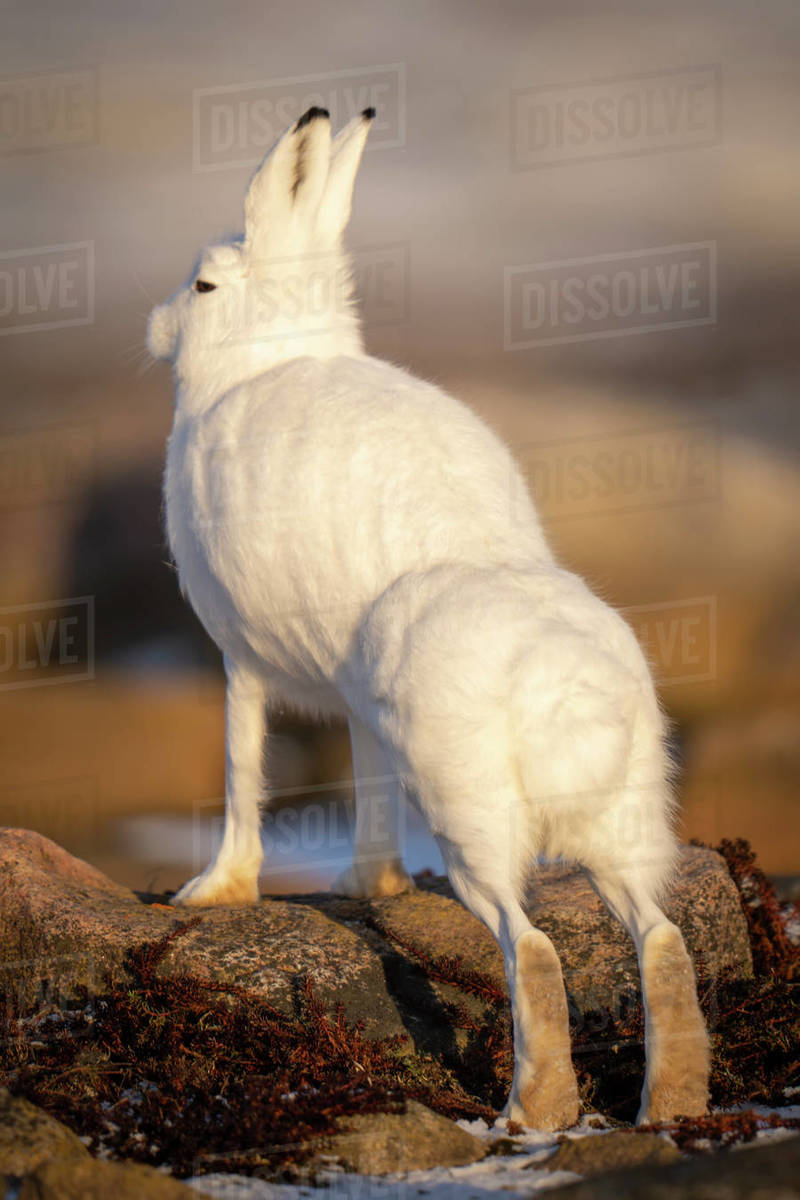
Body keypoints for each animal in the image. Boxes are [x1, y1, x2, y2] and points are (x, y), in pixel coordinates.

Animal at [147, 105, 709, 1130]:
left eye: (204, 283)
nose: (155, 323)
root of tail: (568, 704)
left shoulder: (240, 657)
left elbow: (243, 765)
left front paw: (214, 891)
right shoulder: (358, 701)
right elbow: (366, 778)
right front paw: (368, 882)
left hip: (470, 807)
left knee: (532, 949)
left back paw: (531, 1113)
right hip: (622, 815)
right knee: (660, 940)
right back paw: (671, 1105)